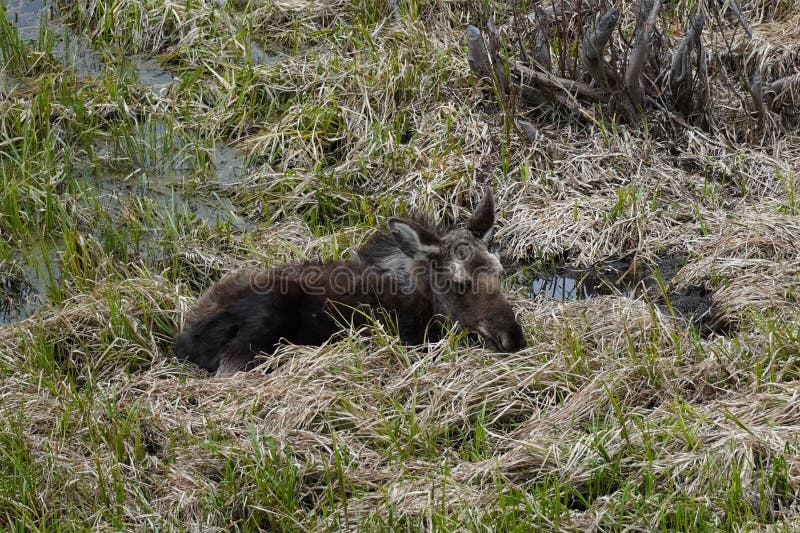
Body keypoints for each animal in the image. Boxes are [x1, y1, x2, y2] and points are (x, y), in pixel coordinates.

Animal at [174, 189, 526, 376]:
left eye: (499, 273)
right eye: (460, 282)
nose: (513, 337)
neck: (425, 304)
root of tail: (186, 339)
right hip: (257, 332)